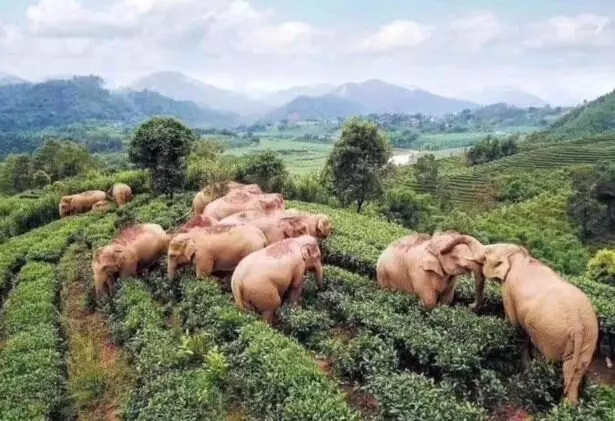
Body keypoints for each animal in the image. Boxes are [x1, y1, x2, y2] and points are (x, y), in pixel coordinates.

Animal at [464, 244, 600, 406]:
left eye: (485, 254)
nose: (469, 305)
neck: (517, 254)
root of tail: (578, 326)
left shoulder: (508, 290)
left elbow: (513, 324)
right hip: (588, 339)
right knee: (573, 371)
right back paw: (567, 406)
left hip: (551, 334)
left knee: (549, 361)